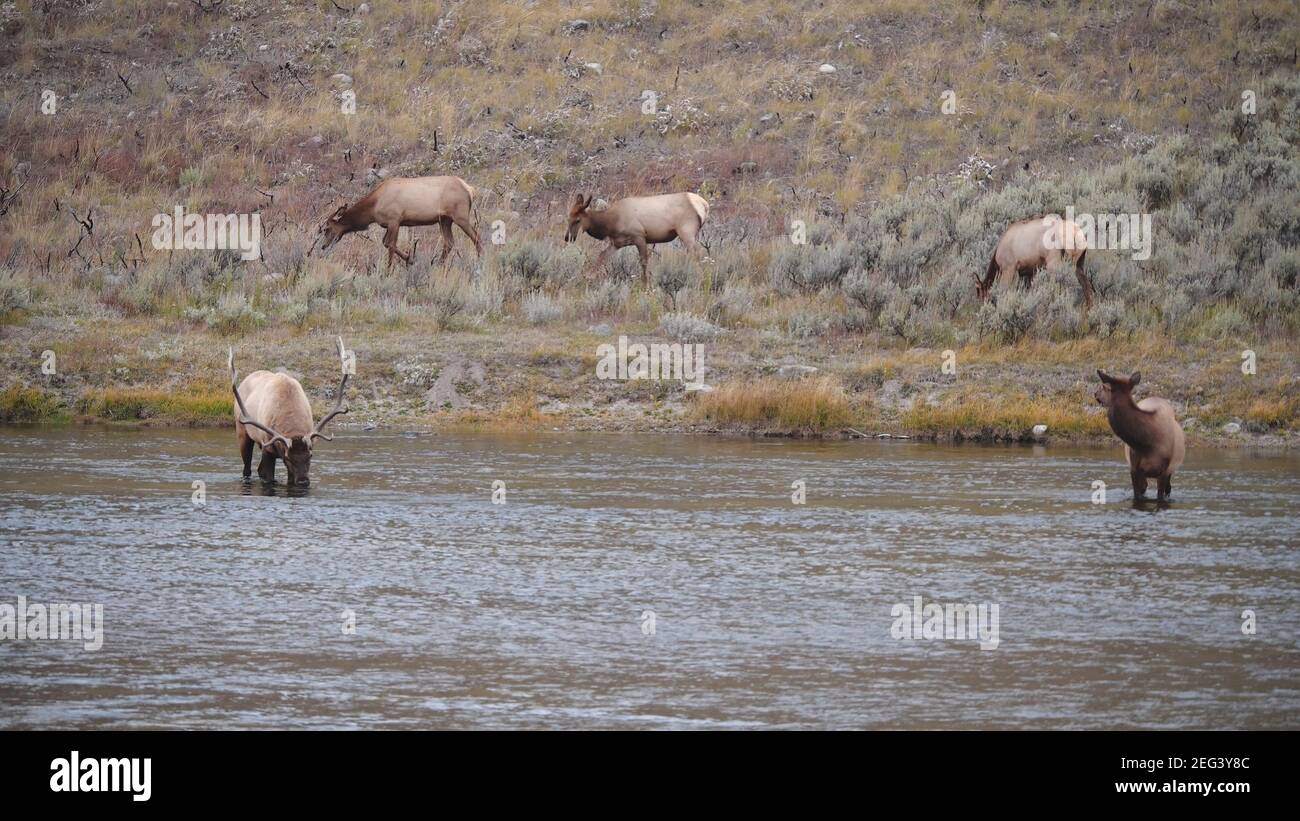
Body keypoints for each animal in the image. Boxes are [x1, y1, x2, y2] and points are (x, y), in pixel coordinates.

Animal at [230, 336, 350, 486]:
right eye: (287, 458)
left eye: (310, 455)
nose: (303, 481)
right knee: (247, 468)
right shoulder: (267, 447)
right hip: (242, 431)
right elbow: (267, 475)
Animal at [318, 176, 482, 268]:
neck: (373, 208)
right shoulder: (389, 224)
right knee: (449, 242)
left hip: (460, 216)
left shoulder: (394, 220)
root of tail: (470, 189)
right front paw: (410, 259)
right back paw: (438, 265)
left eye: (327, 228)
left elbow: (390, 244)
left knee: (476, 237)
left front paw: (389, 270)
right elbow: (386, 243)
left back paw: (481, 261)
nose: (323, 246)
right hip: (445, 220)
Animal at [564, 192, 710, 283]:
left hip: (686, 231)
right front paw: (588, 276)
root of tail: (704, 204)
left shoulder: (639, 236)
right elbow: (602, 255)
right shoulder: (617, 242)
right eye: (568, 218)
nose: (567, 237)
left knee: (699, 254)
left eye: (577, 220)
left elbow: (644, 262)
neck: (610, 223)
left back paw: (702, 279)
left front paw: (645, 284)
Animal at [1095, 370, 1185, 502]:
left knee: (1169, 488)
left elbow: (1160, 496)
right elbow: (1137, 495)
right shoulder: (1134, 469)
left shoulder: (1164, 472)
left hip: (1171, 469)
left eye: (1104, 386)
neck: (1145, 443)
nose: (1095, 393)